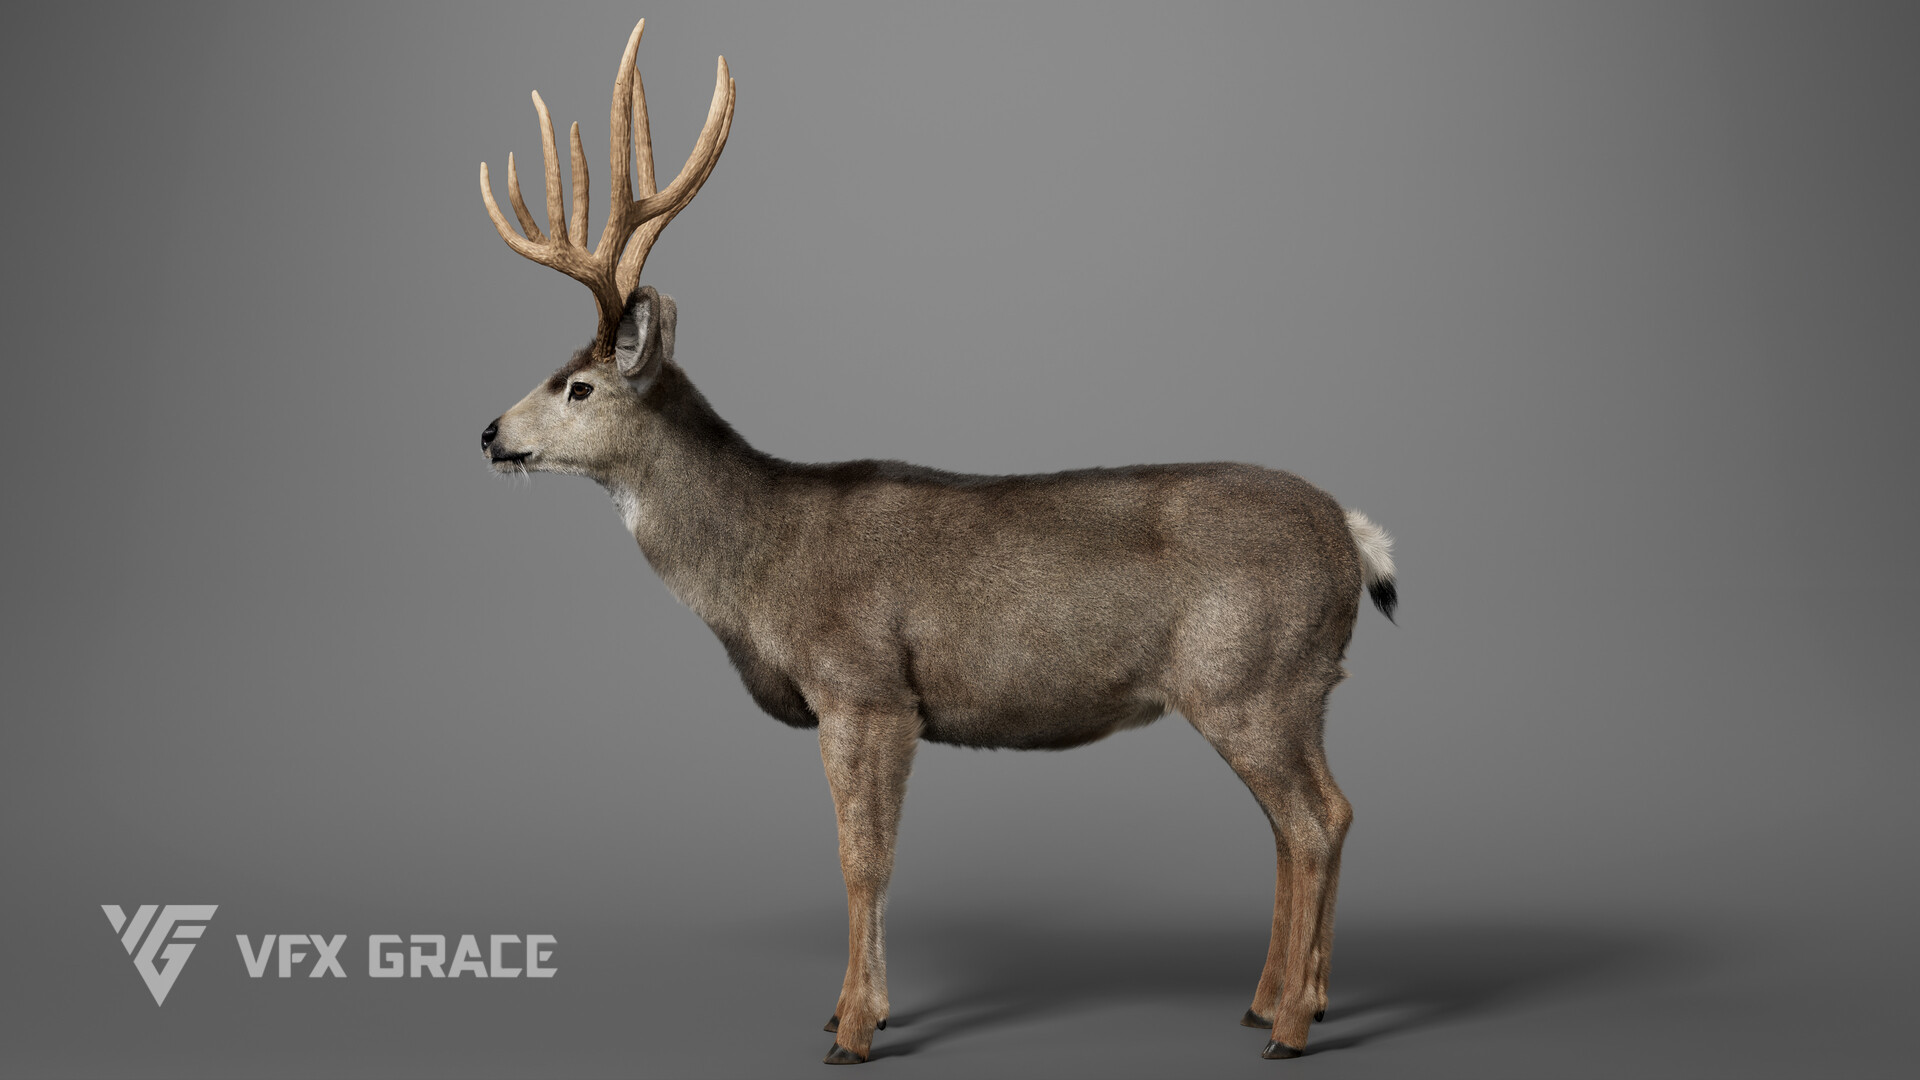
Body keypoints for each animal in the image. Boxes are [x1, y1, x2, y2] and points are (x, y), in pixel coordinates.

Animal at [476, 20, 1397, 1065]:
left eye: (578, 386)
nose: (490, 433)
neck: (758, 572)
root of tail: (1353, 538)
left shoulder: (867, 688)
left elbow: (863, 859)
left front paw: (852, 1027)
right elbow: (869, 857)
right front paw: (856, 1011)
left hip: (1249, 676)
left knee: (1313, 821)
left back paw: (1287, 1025)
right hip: (1298, 685)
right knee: (1317, 818)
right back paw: (1282, 998)